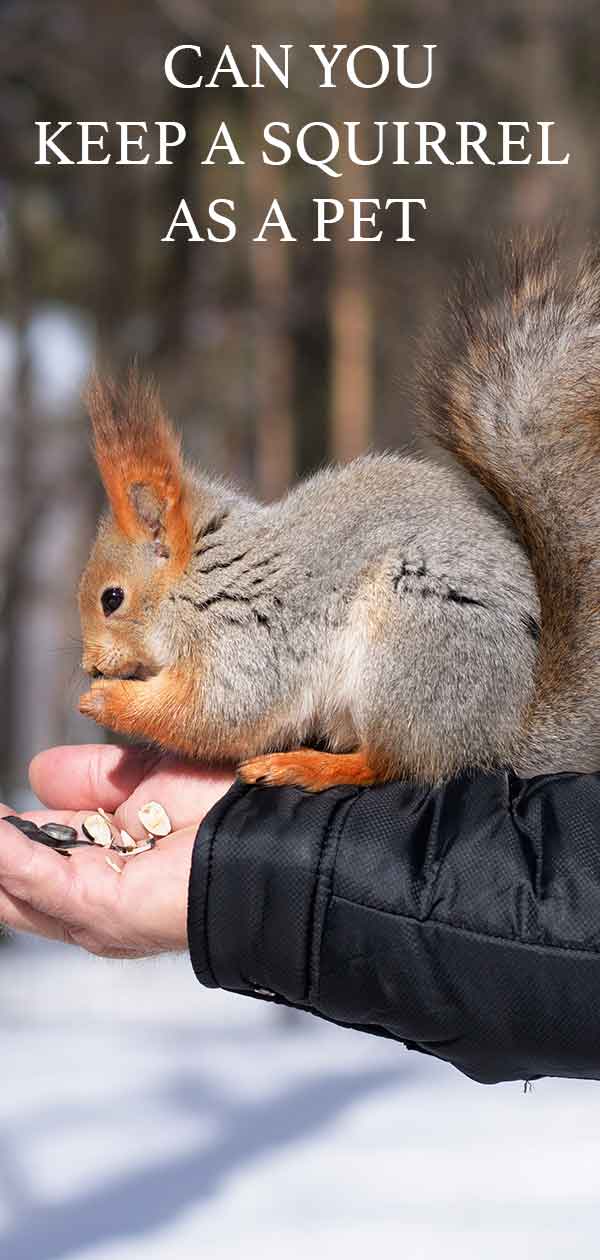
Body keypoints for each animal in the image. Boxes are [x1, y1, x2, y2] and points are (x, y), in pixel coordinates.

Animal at [78, 234, 600, 791]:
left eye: (112, 599)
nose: (90, 667)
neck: (200, 576)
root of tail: (499, 735)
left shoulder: (246, 637)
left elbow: (216, 709)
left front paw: (108, 701)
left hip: (415, 644)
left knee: (391, 762)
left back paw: (306, 764)